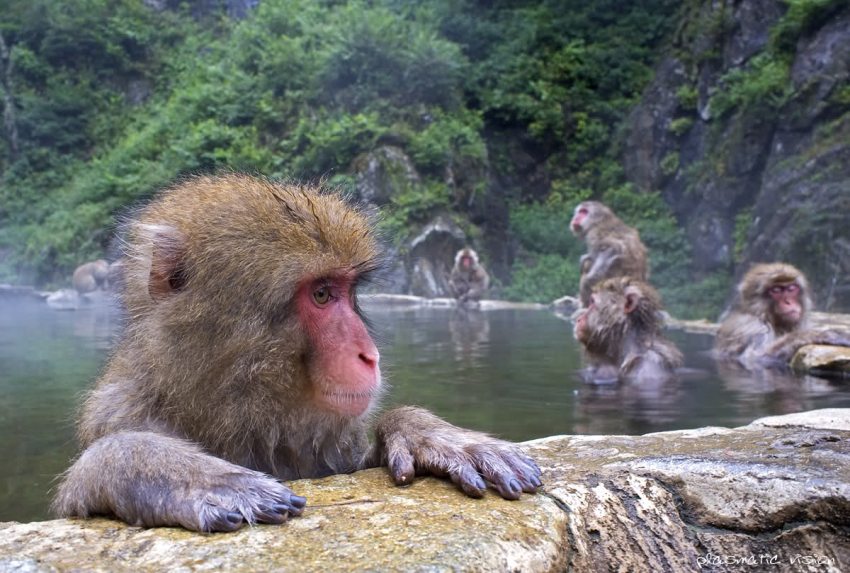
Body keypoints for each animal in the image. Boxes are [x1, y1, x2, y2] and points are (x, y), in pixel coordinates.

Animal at [52, 174, 541, 533]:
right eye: (321, 295)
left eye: (346, 291)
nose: (369, 356)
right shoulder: (118, 411)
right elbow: (96, 468)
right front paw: (179, 472)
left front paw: (426, 432)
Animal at [714, 263, 850, 368]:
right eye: (776, 290)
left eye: (791, 288)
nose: (788, 302)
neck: (767, 317)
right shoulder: (752, 326)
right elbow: (754, 358)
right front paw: (820, 334)